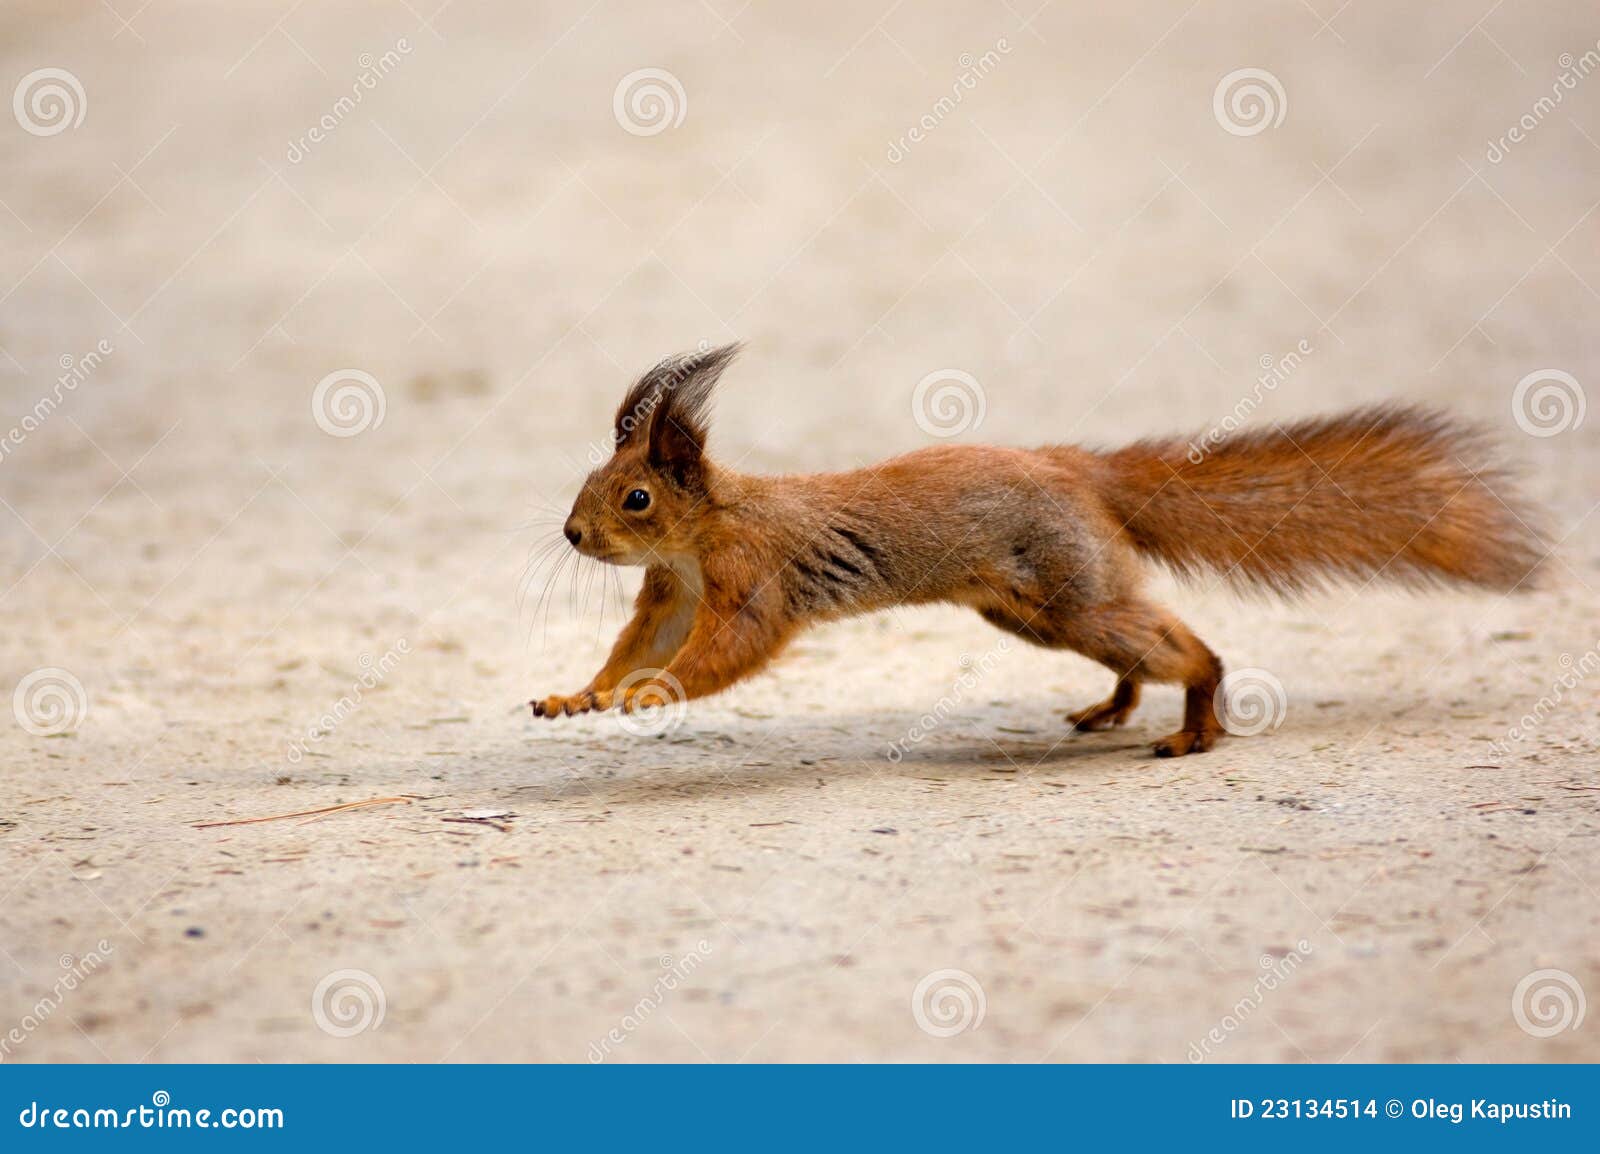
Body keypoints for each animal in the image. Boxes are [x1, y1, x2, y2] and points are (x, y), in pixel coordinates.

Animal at [530, 343, 1545, 756]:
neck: (704, 532)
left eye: (635, 496)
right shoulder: (672, 591)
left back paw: (1196, 724)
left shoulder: (748, 580)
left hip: (1072, 593)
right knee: (1136, 647)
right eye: (590, 479)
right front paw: (581, 693)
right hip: (1033, 611)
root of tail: (1077, 470)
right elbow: (640, 645)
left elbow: (726, 651)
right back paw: (1118, 706)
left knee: (1186, 648)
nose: (575, 534)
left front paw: (648, 696)